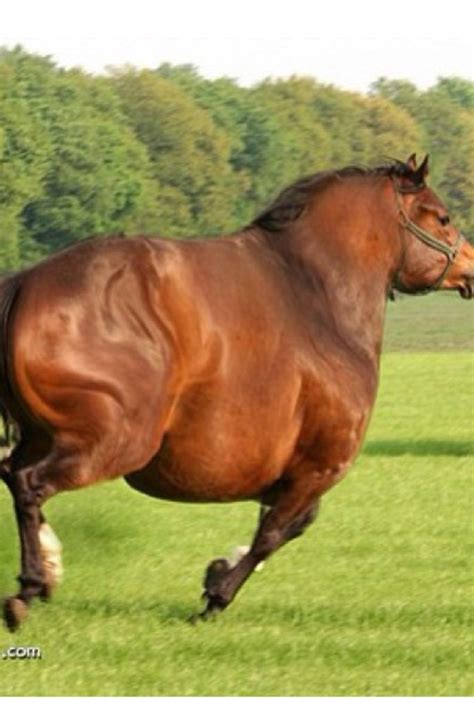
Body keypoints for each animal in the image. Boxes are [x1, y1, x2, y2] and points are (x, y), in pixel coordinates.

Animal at [0, 154, 472, 631]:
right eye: (442, 217)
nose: (470, 267)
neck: (316, 295)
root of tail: (25, 284)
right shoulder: (317, 466)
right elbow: (278, 531)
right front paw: (216, 591)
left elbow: (280, 525)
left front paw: (219, 570)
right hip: (114, 442)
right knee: (30, 484)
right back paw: (29, 587)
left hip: (47, 435)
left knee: (13, 474)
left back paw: (48, 571)